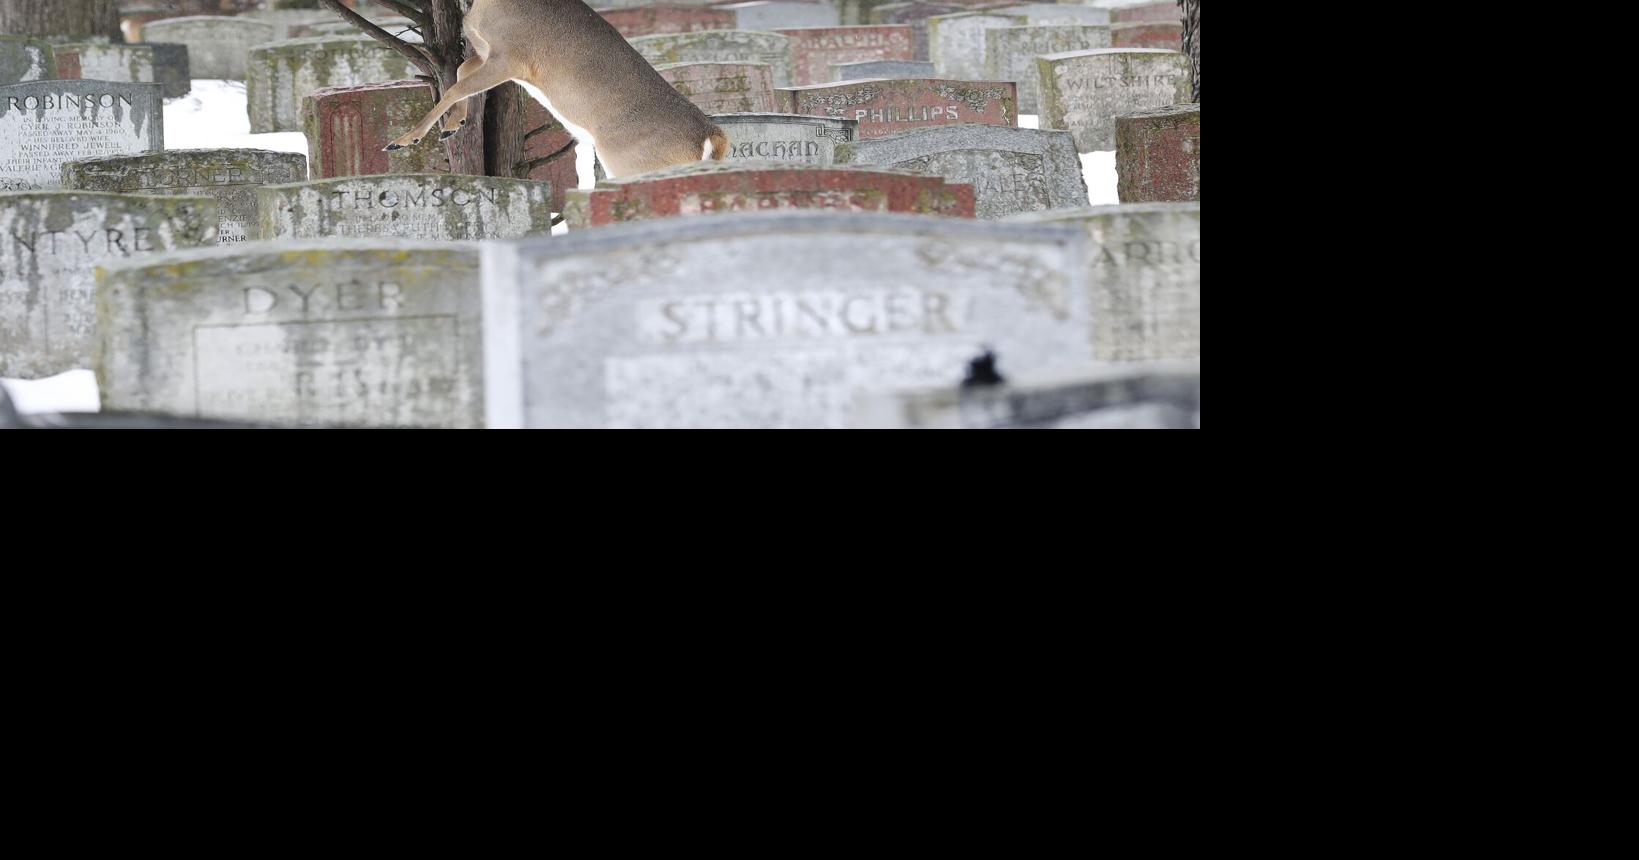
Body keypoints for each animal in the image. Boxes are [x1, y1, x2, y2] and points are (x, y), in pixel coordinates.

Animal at [384, 0, 729, 179]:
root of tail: (710, 136)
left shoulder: (512, 55)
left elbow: (456, 87)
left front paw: (403, 140)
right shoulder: (488, 51)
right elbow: (459, 73)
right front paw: (454, 125)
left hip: (632, 163)